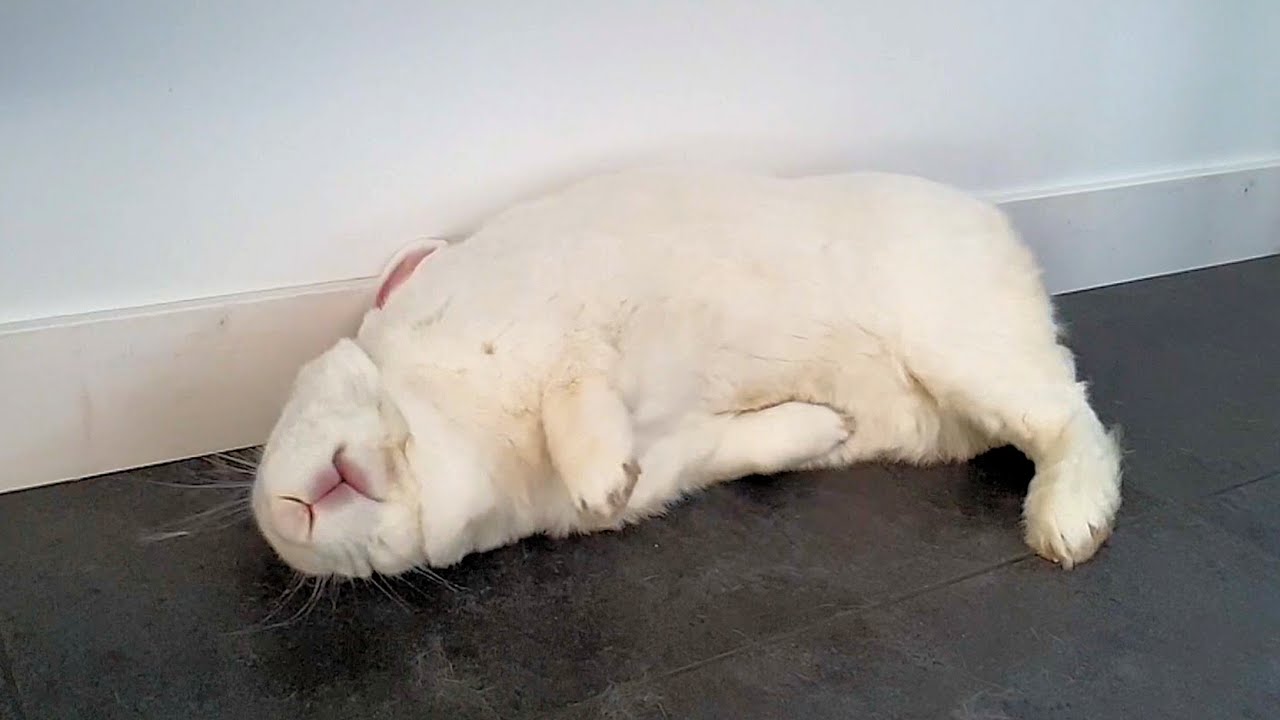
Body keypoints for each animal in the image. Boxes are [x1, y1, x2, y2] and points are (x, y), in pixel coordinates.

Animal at [251, 168, 1122, 579]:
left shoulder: (564, 323)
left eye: (297, 402)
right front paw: (823, 428)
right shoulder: (685, 452)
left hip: (968, 349)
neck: (451, 418)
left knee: (1073, 417)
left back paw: (1068, 526)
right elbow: (751, 442)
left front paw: (599, 479)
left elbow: (575, 393)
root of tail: (1006, 236)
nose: (287, 516)